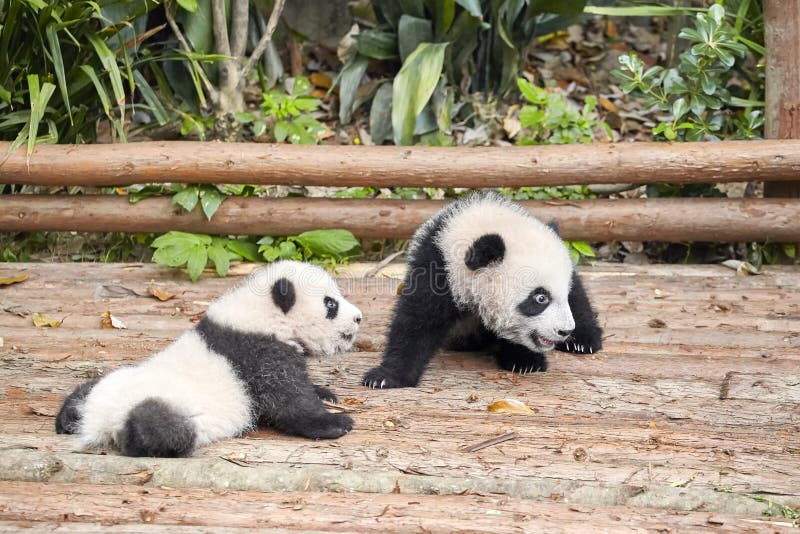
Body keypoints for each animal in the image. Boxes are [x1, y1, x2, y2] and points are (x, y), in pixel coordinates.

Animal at [56, 260, 363, 457]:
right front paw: (335, 423)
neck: (261, 316)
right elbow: (288, 401)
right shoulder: (258, 352)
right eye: (331, 304)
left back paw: (66, 421)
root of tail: (98, 420)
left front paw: (325, 393)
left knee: (83, 391)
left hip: (110, 382)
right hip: (163, 406)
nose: (359, 318)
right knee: (161, 426)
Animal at [363, 191, 602, 389]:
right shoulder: (438, 266)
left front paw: (524, 360)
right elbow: (417, 321)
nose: (565, 331)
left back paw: (583, 341)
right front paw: (387, 376)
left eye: (563, 294)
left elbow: (577, 293)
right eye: (540, 298)